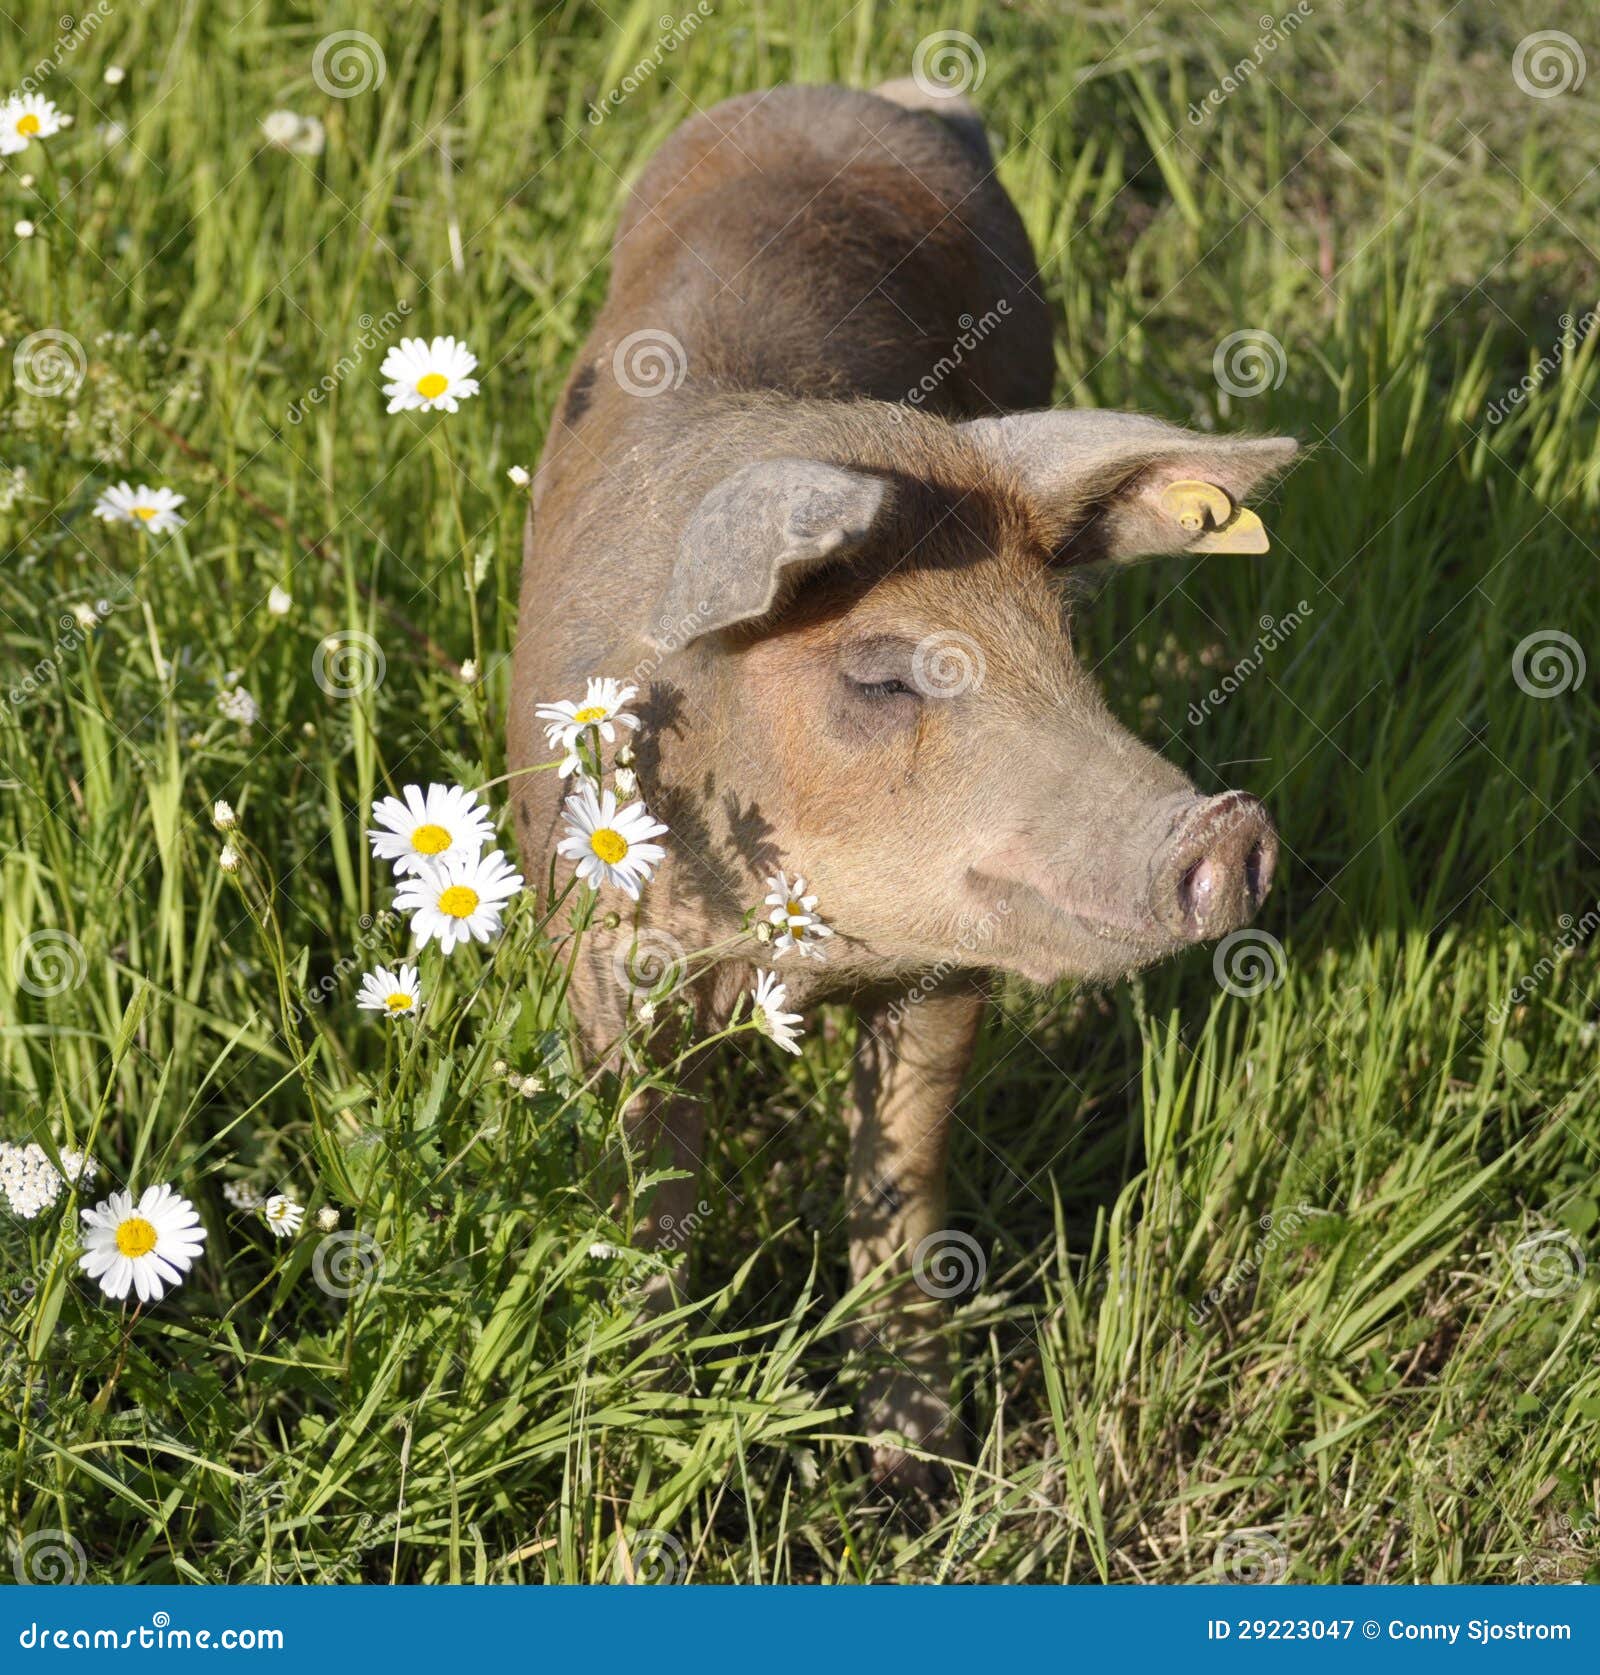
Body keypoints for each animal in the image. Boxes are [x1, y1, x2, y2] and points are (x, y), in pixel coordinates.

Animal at [507, 81, 1295, 1488]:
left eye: (1062, 642)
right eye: (881, 674)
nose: (1231, 829)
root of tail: (872, 92)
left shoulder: (950, 968)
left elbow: (902, 1185)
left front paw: (920, 1481)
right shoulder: (595, 950)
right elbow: (646, 1203)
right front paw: (650, 1449)